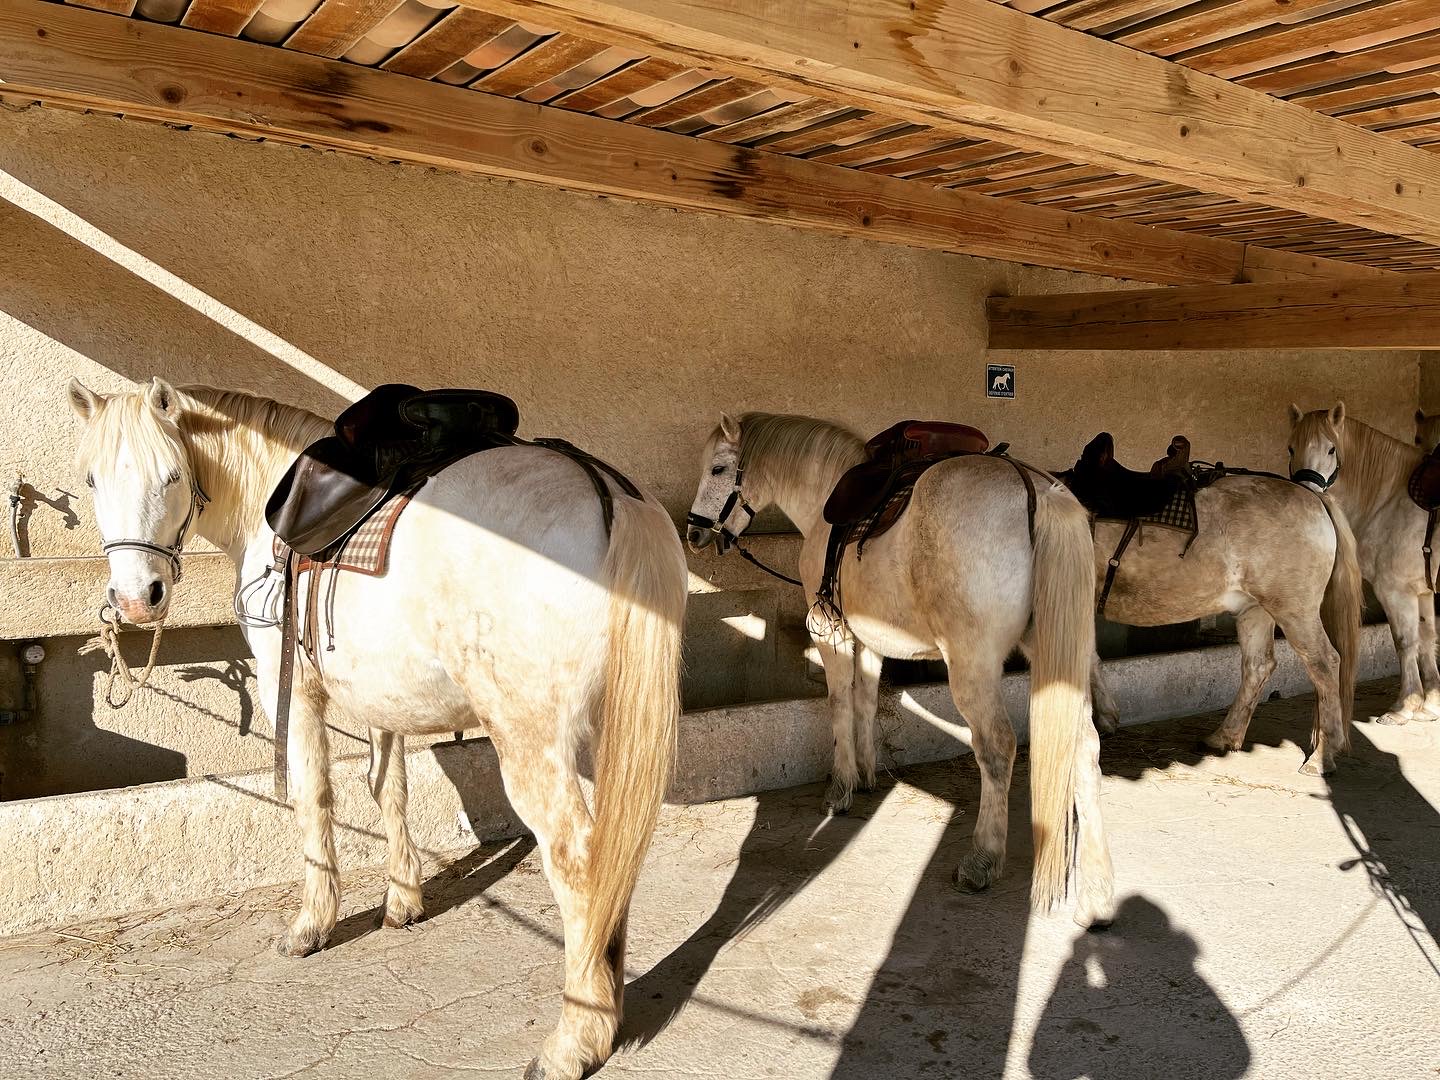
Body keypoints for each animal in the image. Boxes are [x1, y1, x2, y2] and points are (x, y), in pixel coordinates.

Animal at [69, 377, 686, 1080]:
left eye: (172, 473)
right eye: (91, 479)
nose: (136, 598)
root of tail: (609, 493)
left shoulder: (290, 687)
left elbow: (314, 796)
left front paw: (311, 926)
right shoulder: (384, 698)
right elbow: (390, 788)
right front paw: (402, 900)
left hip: (531, 741)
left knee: (577, 859)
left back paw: (575, 1038)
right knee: (613, 858)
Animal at [686, 413, 1114, 927]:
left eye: (717, 468)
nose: (693, 533)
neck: (827, 499)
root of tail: (1039, 493)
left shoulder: (830, 633)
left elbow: (838, 703)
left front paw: (841, 787)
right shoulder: (873, 639)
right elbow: (866, 702)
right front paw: (867, 775)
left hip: (972, 666)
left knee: (997, 747)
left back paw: (982, 860)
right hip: (1062, 661)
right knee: (1084, 747)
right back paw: (1096, 895)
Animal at [1063, 434, 1362, 776]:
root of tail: (1314, 497)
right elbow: (1089, 658)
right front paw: (1106, 718)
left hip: (1295, 611)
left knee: (1325, 664)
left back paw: (1321, 756)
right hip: (1255, 610)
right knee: (1258, 666)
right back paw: (1224, 737)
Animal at [1289, 402, 1440, 725]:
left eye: (1331, 449)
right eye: (1291, 448)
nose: (1307, 492)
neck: (1391, 497)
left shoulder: (1396, 591)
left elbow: (1404, 642)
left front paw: (1404, 706)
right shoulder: (1422, 591)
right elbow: (1426, 638)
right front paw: (1431, 704)